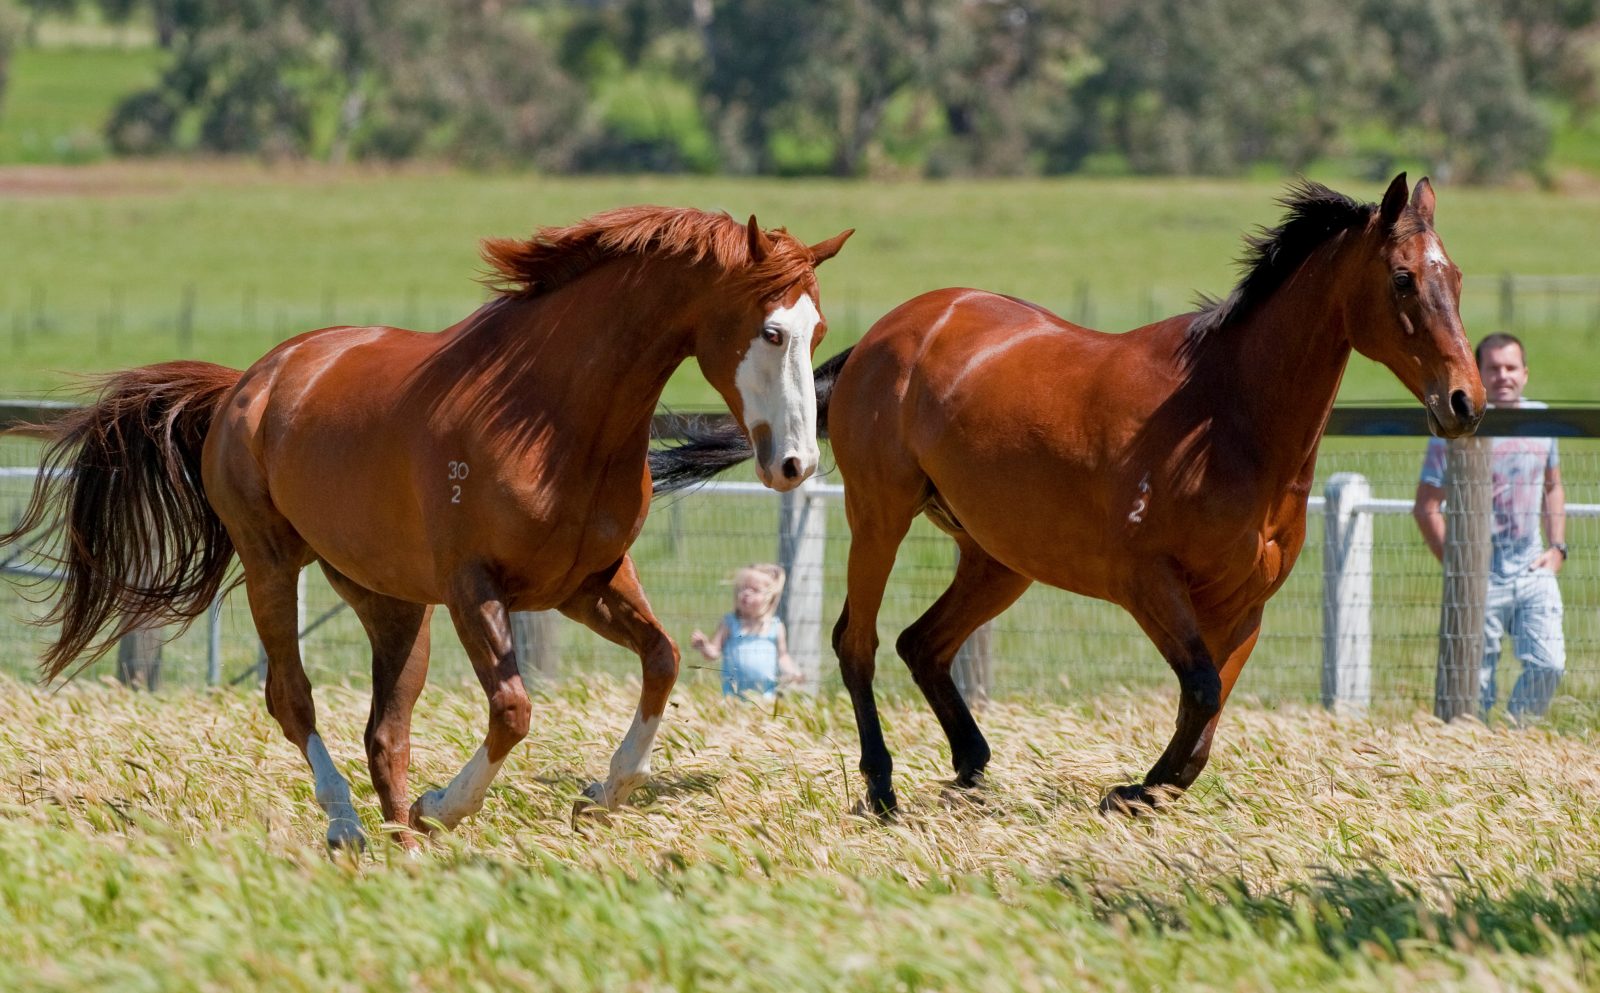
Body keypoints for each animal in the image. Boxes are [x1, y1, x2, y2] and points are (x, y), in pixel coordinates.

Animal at [2, 206, 852, 848]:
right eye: (771, 331)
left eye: (818, 330)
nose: (796, 463)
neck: (549, 412)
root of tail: (249, 381)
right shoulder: (475, 585)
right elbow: (513, 709)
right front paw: (449, 806)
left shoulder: (587, 582)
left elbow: (664, 660)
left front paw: (601, 792)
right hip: (273, 563)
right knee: (292, 698)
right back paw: (350, 824)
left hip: (392, 603)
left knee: (385, 730)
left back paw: (403, 846)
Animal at [651, 174, 1484, 815]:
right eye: (1403, 278)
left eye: (1457, 278)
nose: (1465, 401)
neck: (1223, 417)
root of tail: (886, 335)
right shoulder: (1149, 583)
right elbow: (1201, 689)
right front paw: (1133, 789)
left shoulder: (1245, 605)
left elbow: (1208, 710)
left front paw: (1151, 788)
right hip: (879, 516)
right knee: (858, 641)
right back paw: (883, 786)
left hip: (998, 557)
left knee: (923, 642)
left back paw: (971, 766)